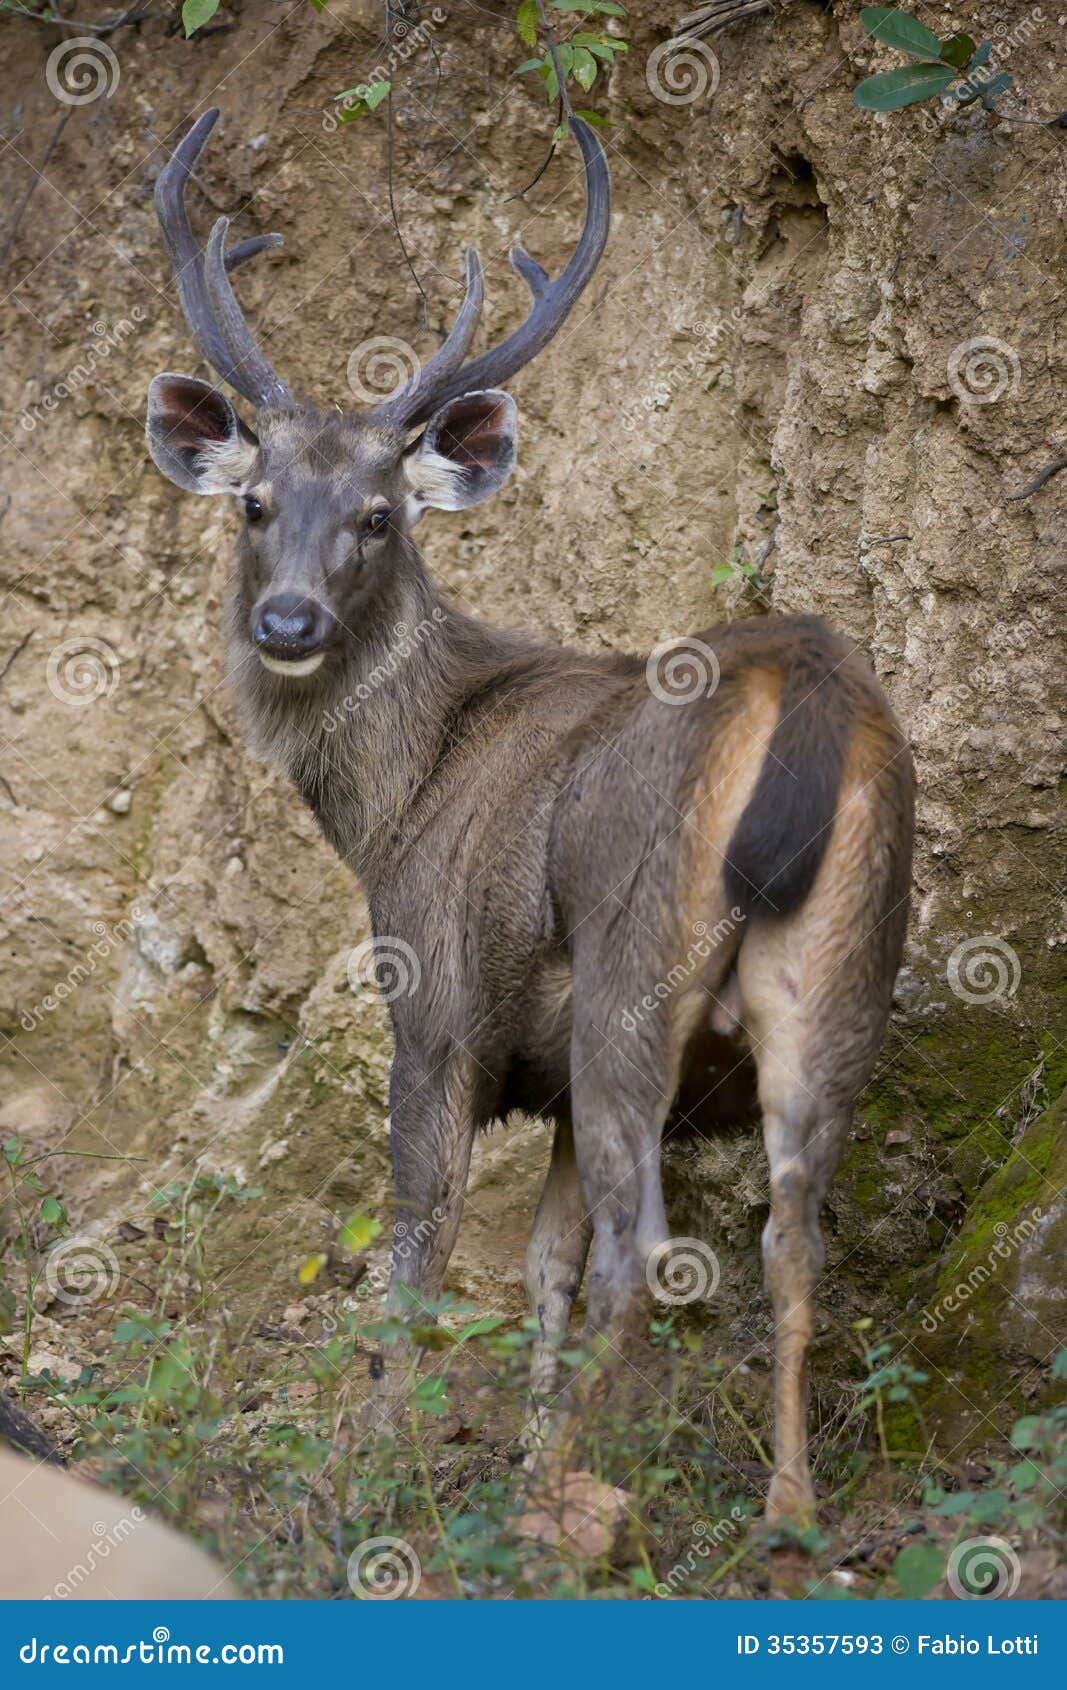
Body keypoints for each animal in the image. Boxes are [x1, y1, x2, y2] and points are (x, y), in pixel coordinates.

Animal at [144, 108, 914, 1523]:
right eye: (255, 502)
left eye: (378, 516)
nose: (287, 620)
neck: (393, 801)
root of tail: (813, 690)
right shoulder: (546, 1077)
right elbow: (538, 1264)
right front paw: (516, 1439)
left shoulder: (439, 1004)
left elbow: (422, 1256)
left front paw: (365, 1469)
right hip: (842, 958)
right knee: (787, 1233)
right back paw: (781, 1511)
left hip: (633, 955)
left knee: (642, 1245)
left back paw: (559, 1511)